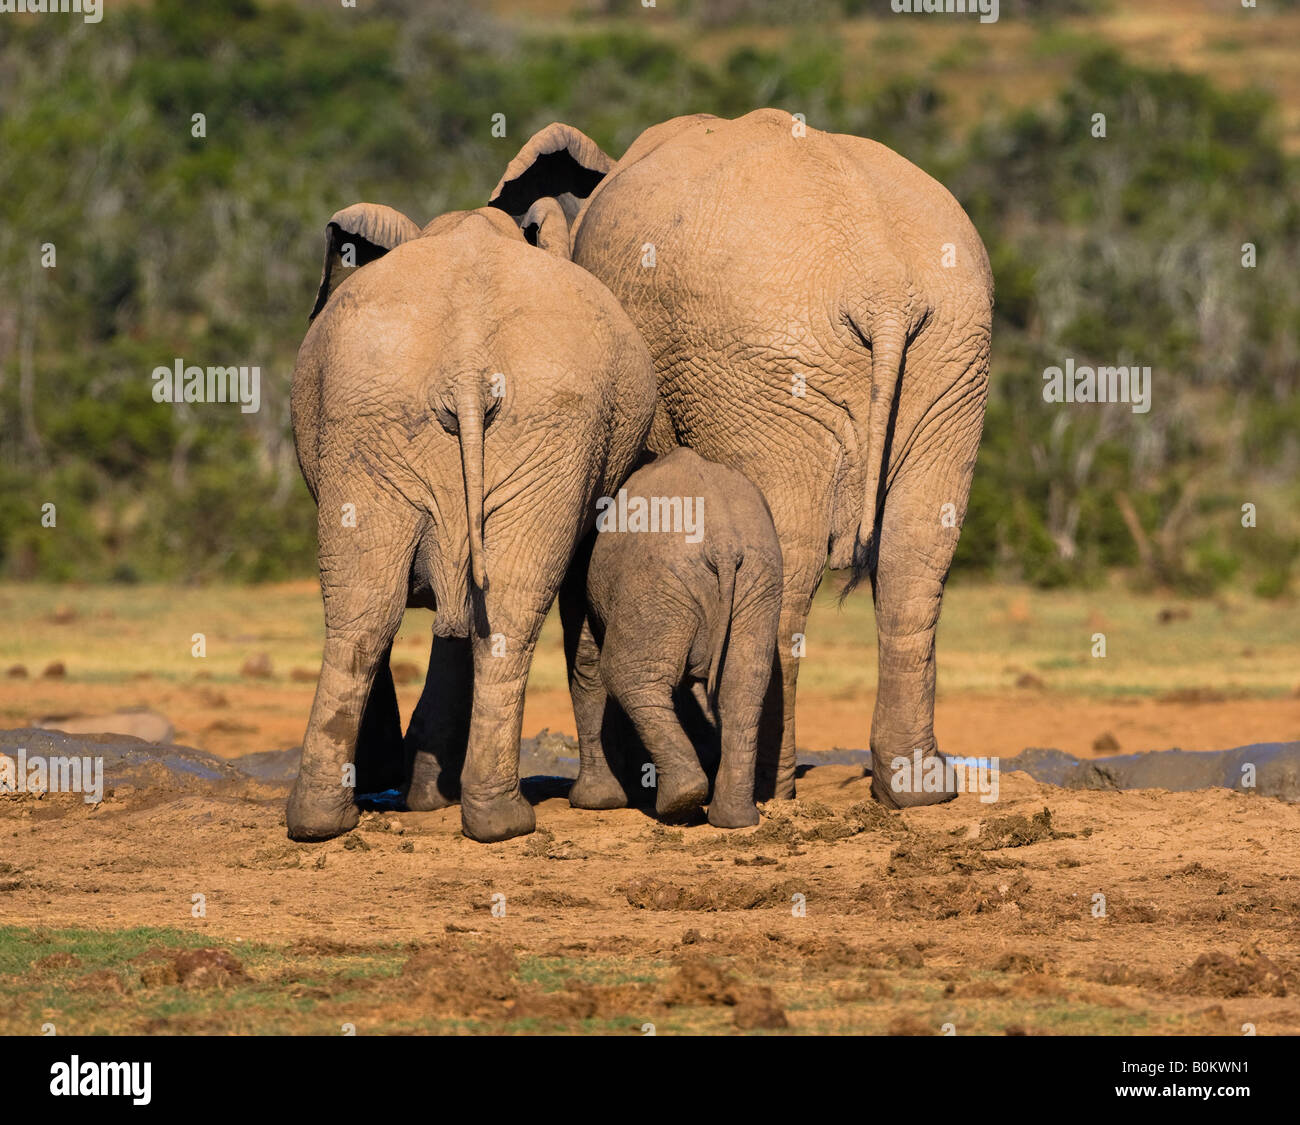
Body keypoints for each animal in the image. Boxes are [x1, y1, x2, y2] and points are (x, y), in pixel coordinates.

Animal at [288, 200, 657, 843]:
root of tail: (465, 363)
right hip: (483, 421)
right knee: (491, 602)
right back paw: (500, 821)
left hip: (400, 422)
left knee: (371, 604)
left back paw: (331, 821)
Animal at [565, 446, 782, 828]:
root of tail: (724, 544)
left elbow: (587, 660)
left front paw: (594, 803)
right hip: (758, 580)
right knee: (744, 685)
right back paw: (734, 820)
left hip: (658, 581)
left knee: (625, 674)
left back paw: (679, 804)